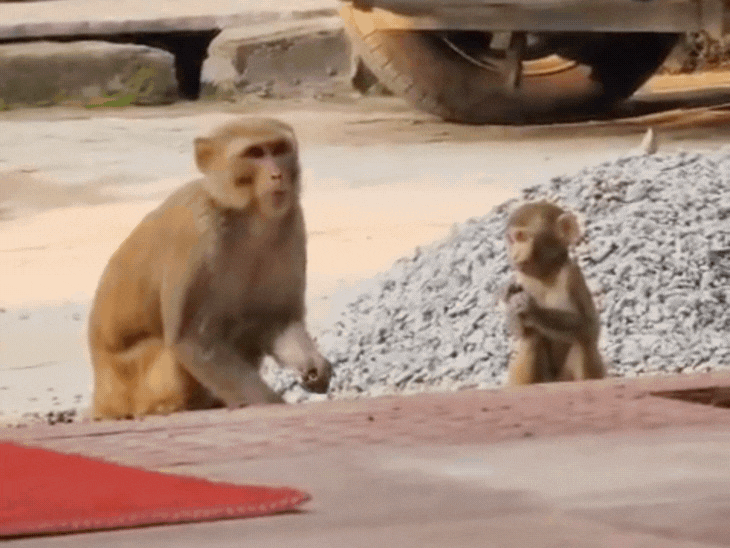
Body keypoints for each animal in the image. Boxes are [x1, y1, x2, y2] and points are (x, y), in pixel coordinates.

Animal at [88, 117, 332, 419]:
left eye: (279, 149)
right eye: (255, 153)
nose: (277, 174)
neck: (247, 215)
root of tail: (101, 396)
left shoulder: (292, 221)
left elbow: (277, 317)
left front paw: (314, 367)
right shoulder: (197, 230)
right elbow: (191, 337)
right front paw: (272, 403)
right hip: (132, 382)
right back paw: (169, 406)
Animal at [502, 200, 605, 385]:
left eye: (521, 237)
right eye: (512, 240)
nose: (513, 254)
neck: (546, 275)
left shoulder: (572, 275)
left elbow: (590, 325)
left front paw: (531, 309)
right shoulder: (522, 278)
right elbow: (520, 332)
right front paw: (510, 299)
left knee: (582, 338)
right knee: (533, 337)